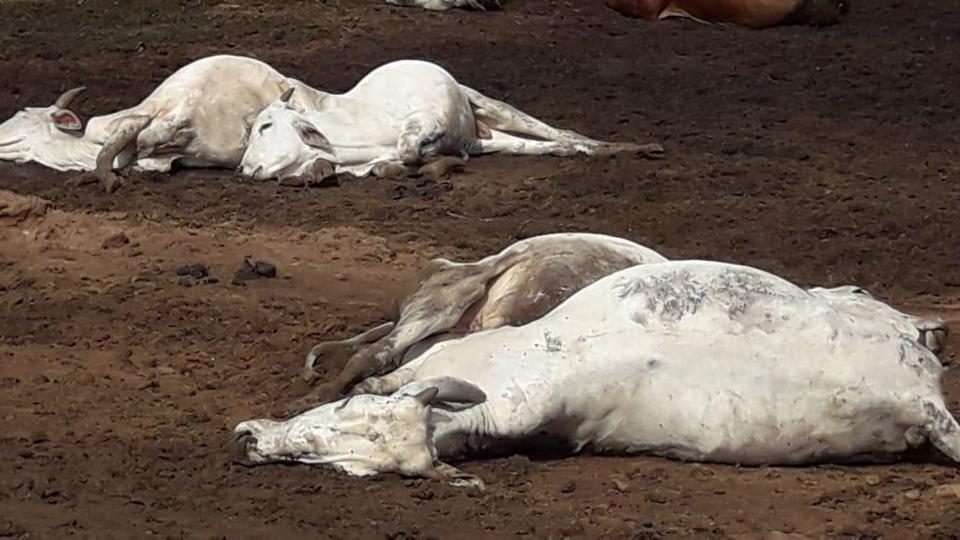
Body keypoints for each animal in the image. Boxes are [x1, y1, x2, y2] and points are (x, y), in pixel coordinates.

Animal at [239, 60, 664, 183]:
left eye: (266, 126)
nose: (243, 169)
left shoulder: (424, 121)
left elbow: (410, 149)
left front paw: (436, 160)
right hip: (492, 139)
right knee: (545, 146)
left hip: (492, 106)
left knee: (559, 131)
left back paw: (634, 147)